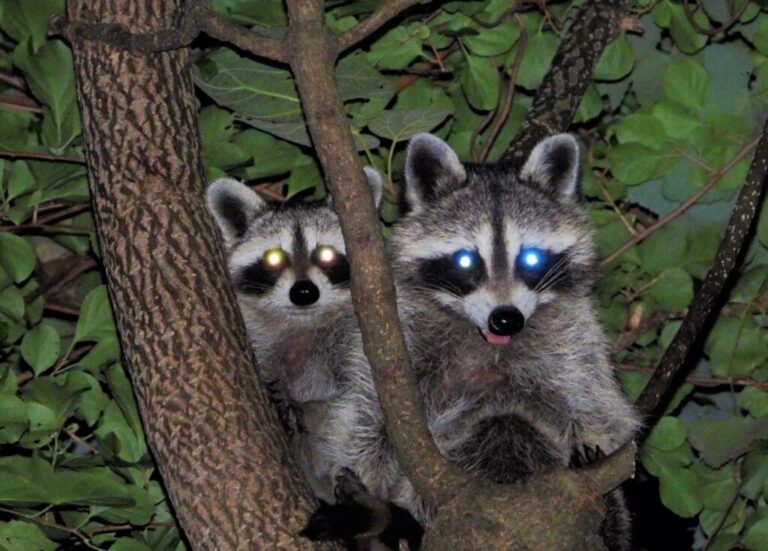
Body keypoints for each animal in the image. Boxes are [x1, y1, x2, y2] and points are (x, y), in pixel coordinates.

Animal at [308, 134, 639, 550]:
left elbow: (599, 409)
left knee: (511, 424)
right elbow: (365, 421)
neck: (488, 341)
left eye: (531, 258)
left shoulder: (576, 340)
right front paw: (365, 486)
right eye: (466, 261)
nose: (506, 316)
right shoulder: (396, 343)